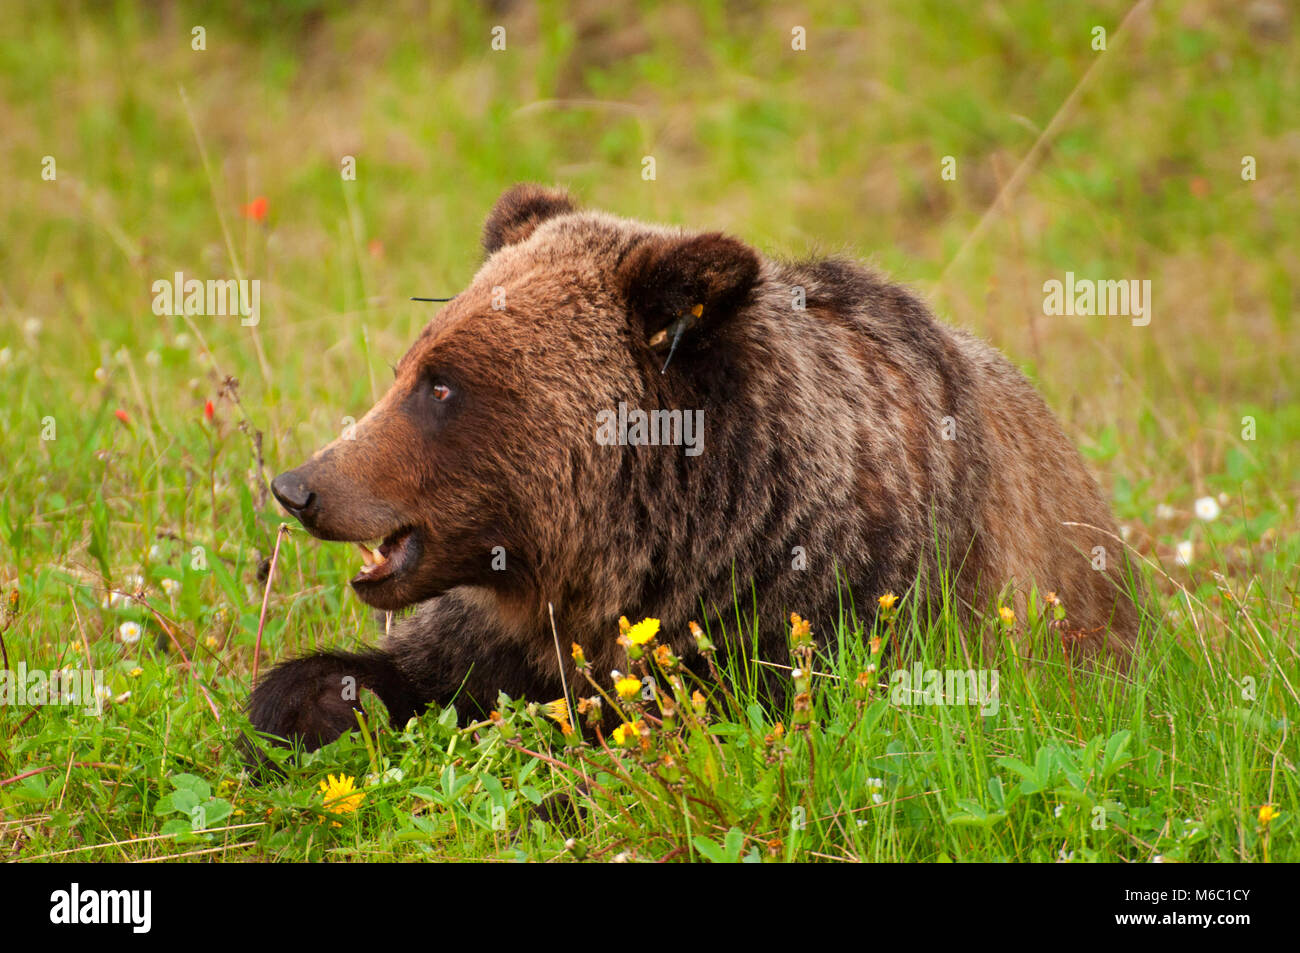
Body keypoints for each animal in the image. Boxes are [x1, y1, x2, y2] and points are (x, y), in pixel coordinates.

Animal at [250, 183, 1141, 753]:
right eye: (410, 366)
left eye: (442, 386)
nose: (299, 486)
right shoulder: (504, 627)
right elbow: (404, 670)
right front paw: (306, 707)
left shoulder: (829, 604)